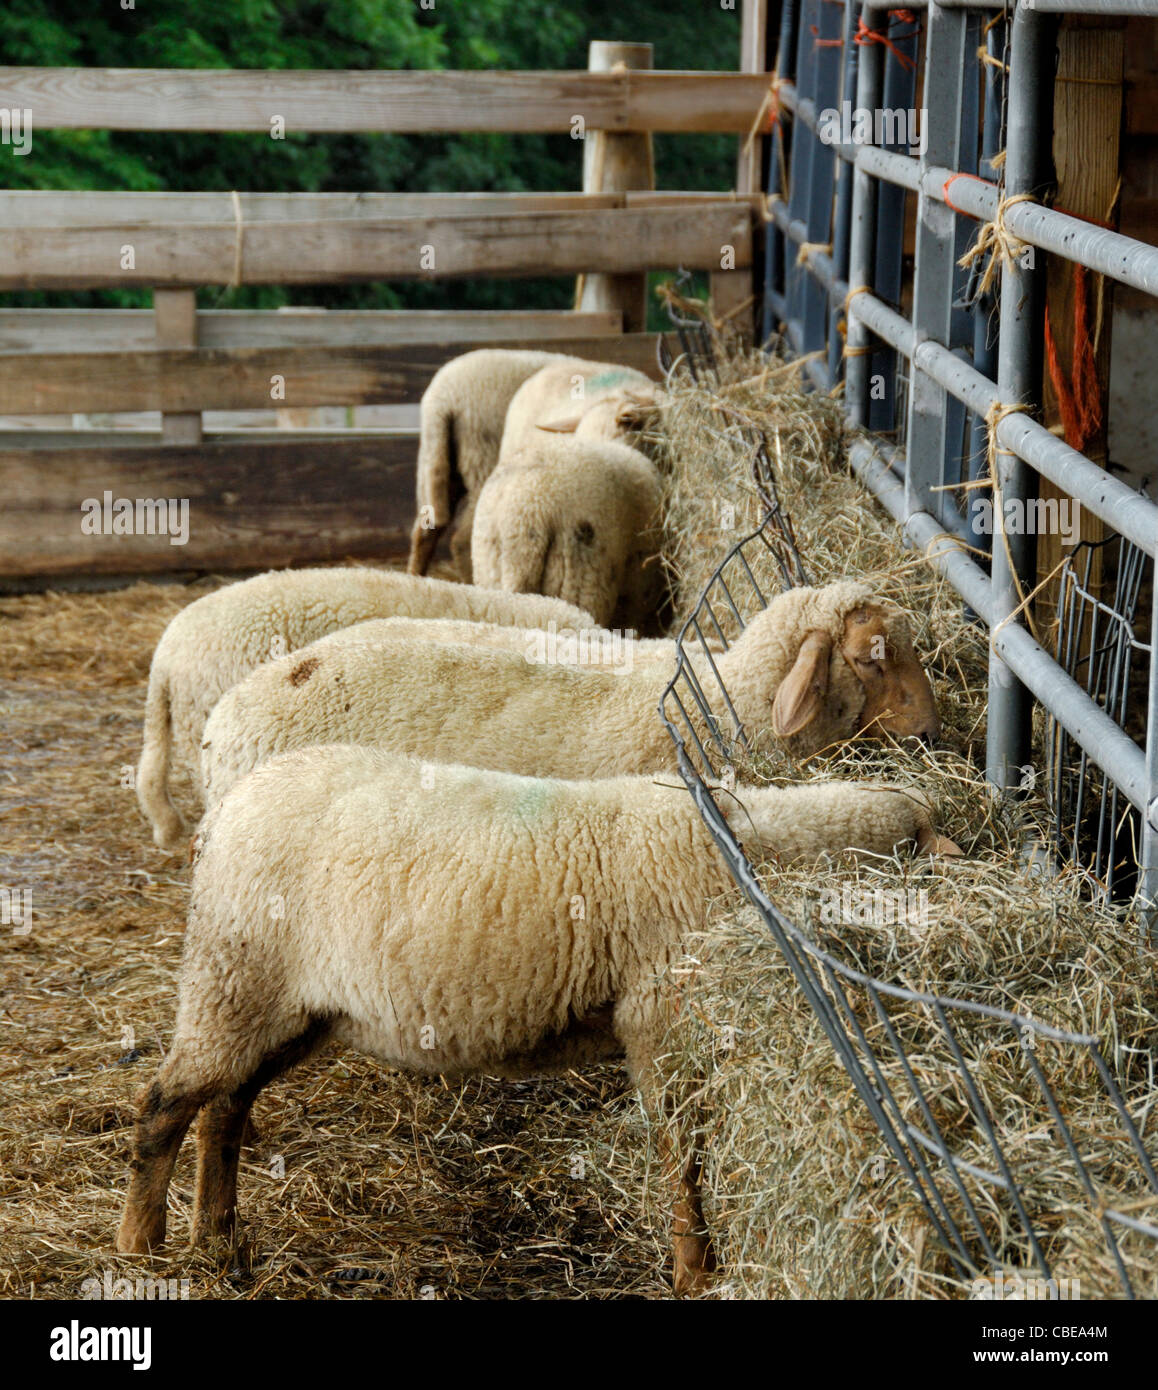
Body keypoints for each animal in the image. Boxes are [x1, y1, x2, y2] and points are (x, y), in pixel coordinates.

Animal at [115, 745, 960, 1293]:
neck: (743, 850)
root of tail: (227, 808)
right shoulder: (657, 1018)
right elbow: (680, 1153)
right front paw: (695, 1270)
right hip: (235, 973)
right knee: (164, 1104)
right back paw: (142, 1245)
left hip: (291, 1006)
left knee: (225, 1106)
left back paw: (219, 1236)